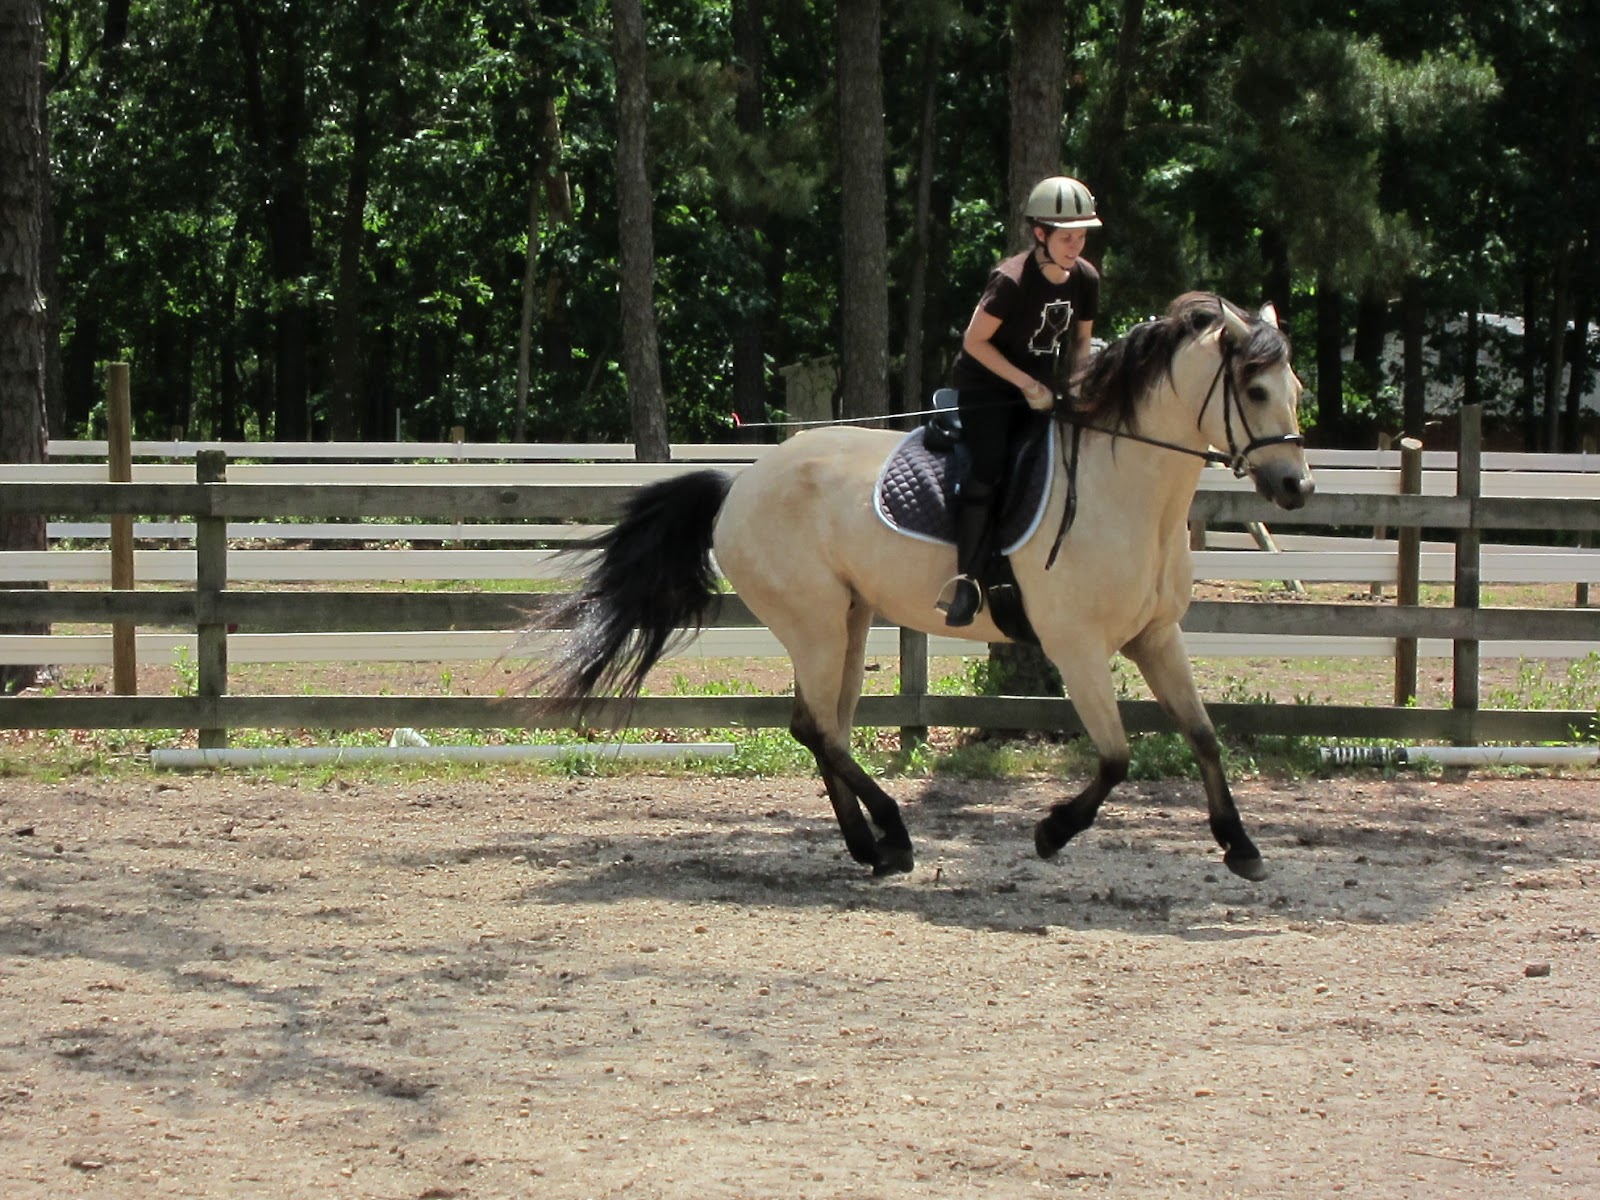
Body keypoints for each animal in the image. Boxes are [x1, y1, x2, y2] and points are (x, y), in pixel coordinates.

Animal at [531, 292, 1314, 881]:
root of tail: (739, 484)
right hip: (815, 623)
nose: (1296, 487)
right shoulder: (1079, 648)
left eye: (1297, 391)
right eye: (1254, 389)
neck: (1125, 490)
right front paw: (1053, 832)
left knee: (824, 726)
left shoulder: (1156, 636)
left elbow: (1204, 735)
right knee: (820, 728)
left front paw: (1242, 847)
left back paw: (873, 847)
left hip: (847, 621)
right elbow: (1118, 756)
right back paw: (892, 835)